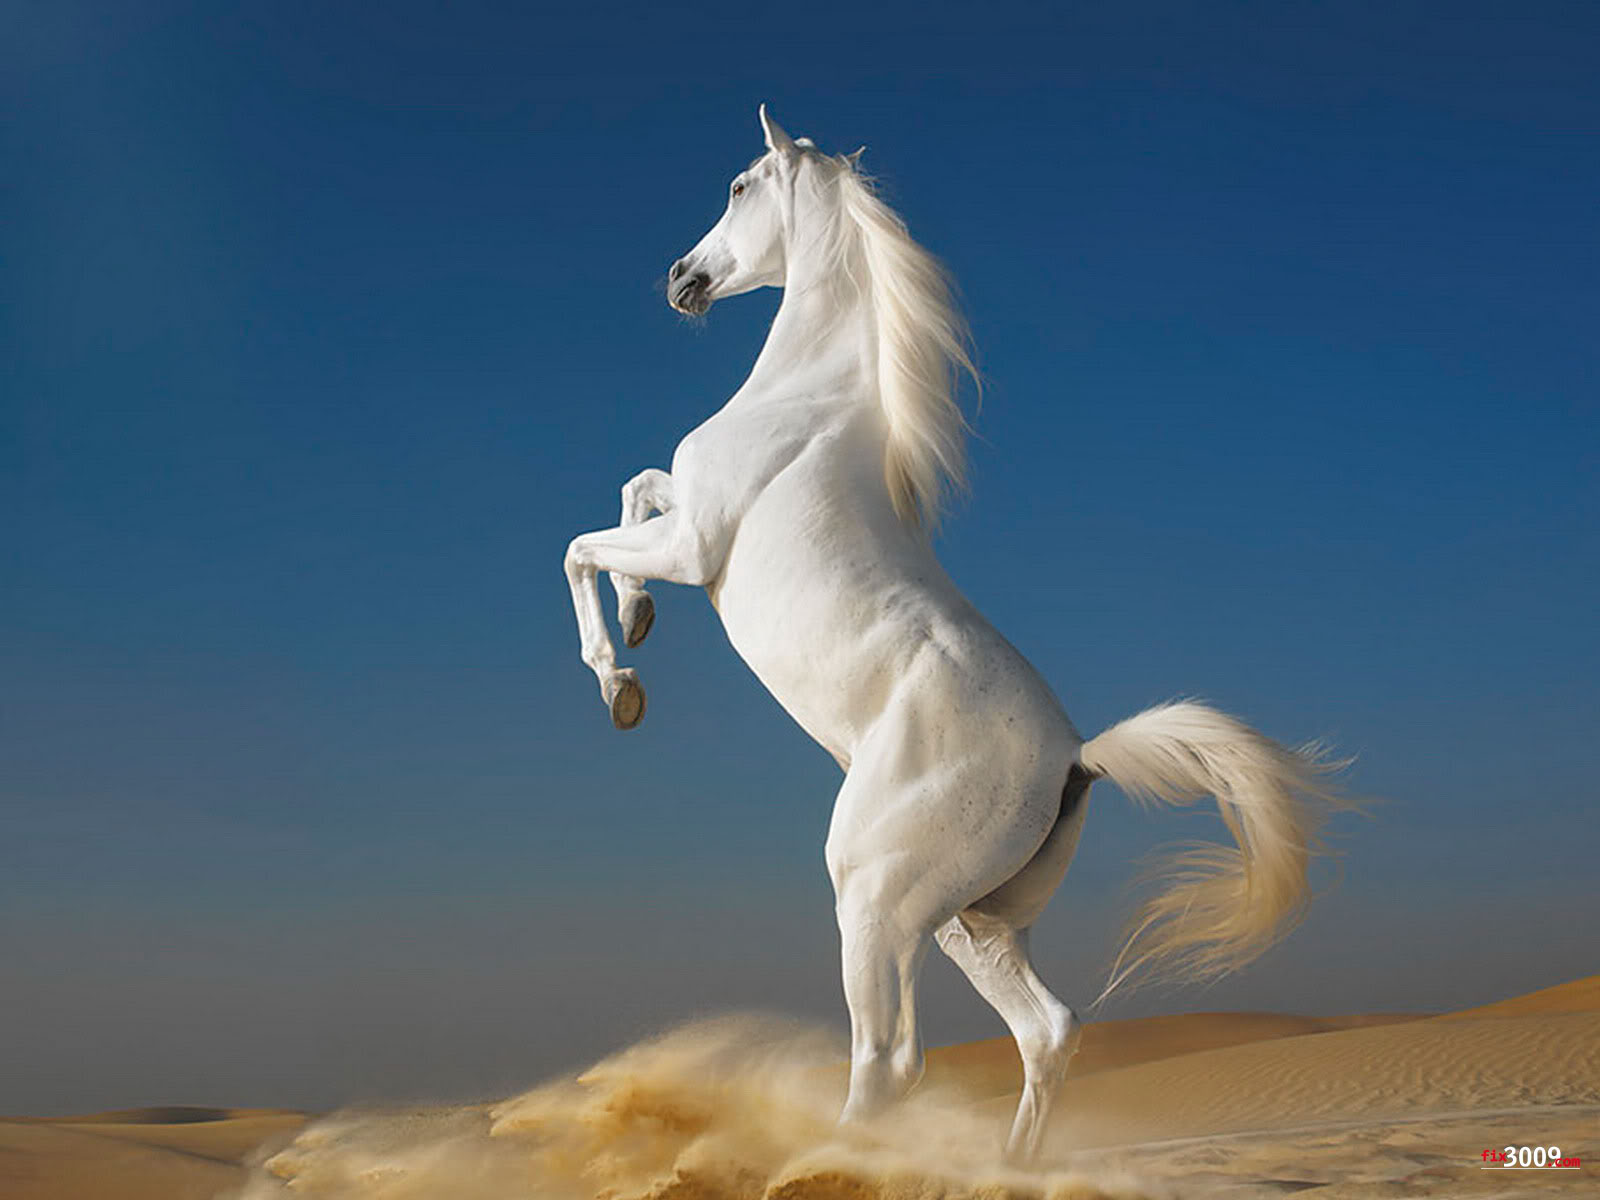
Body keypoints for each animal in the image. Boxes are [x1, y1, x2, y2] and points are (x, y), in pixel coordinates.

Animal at [562, 106, 1343, 1161]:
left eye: (737, 185)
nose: (683, 277)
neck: (805, 400)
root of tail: (1077, 758)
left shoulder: (696, 545)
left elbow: (584, 545)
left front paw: (621, 683)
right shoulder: (682, 520)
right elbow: (636, 486)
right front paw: (639, 621)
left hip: (874, 900)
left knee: (892, 1061)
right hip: (966, 922)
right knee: (1046, 1032)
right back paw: (1008, 1166)